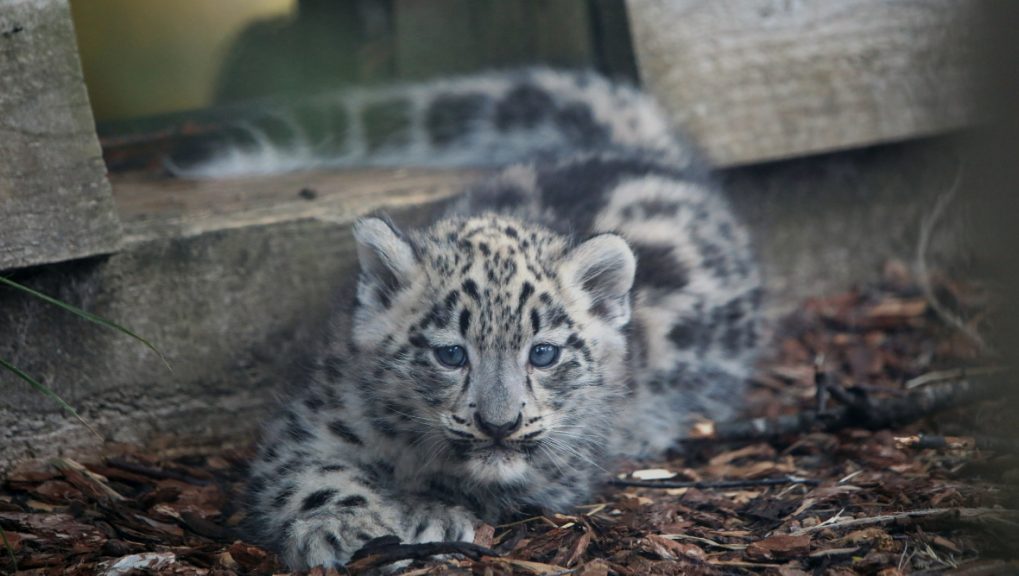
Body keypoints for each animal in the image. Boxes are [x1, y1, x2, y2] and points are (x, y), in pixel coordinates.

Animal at [228, 69, 761, 570]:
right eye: (450, 353)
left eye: (543, 353)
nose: (499, 424)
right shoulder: (309, 426)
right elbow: (311, 475)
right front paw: (341, 526)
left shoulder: (561, 462)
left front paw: (426, 514)